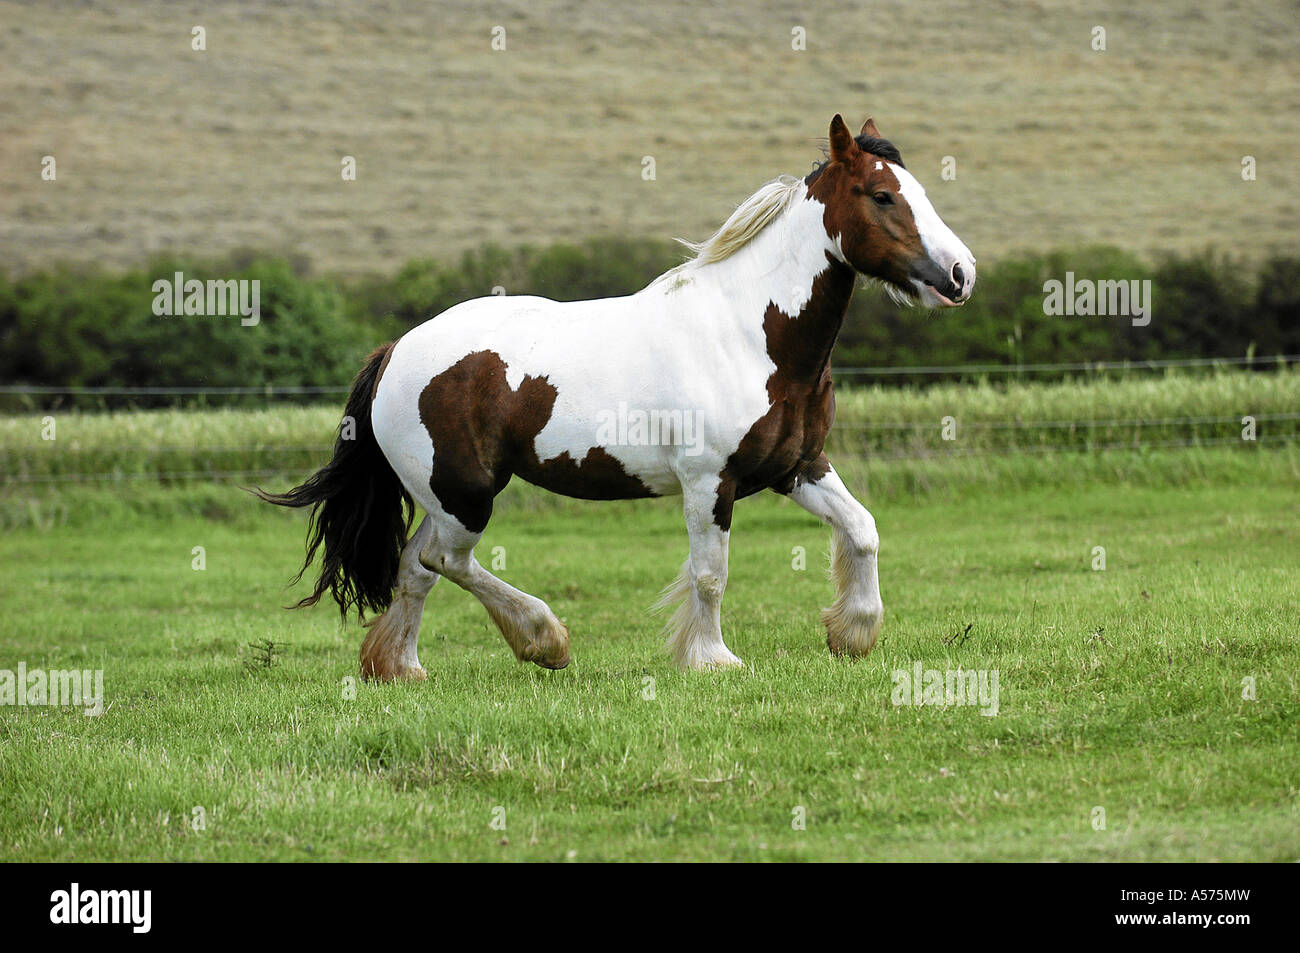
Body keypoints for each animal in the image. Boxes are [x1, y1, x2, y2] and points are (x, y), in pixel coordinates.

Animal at [256, 114, 975, 680]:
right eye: (881, 195)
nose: (961, 274)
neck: (749, 333)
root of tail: (396, 351)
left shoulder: (797, 467)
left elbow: (862, 530)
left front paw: (853, 632)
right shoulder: (708, 480)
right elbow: (710, 573)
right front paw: (711, 659)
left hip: (445, 492)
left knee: (417, 566)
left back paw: (402, 667)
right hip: (465, 493)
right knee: (443, 559)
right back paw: (544, 640)